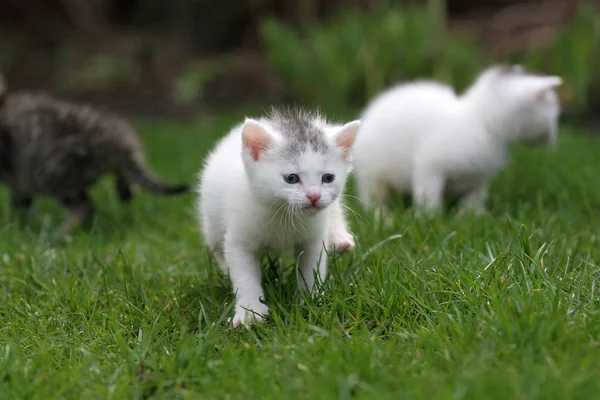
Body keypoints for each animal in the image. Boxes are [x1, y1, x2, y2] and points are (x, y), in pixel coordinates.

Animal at [0, 77, 190, 233]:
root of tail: (120, 140)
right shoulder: (20, 183)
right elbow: (19, 204)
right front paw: (15, 226)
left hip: (53, 171)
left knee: (84, 209)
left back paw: (59, 234)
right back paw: (124, 188)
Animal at [197, 108, 358, 326]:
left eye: (328, 178)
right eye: (291, 178)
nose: (314, 196)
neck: (284, 214)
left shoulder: (314, 238)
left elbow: (311, 268)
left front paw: (310, 300)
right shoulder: (240, 238)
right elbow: (244, 277)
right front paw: (250, 313)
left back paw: (339, 239)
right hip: (212, 225)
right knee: (217, 248)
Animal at [352, 65, 564, 216]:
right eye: (553, 117)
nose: (554, 137)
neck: (481, 123)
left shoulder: (480, 178)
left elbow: (474, 200)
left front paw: (472, 216)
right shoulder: (430, 165)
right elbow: (429, 194)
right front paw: (429, 217)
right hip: (373, 170)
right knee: (371, 193)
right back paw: (381, 215)